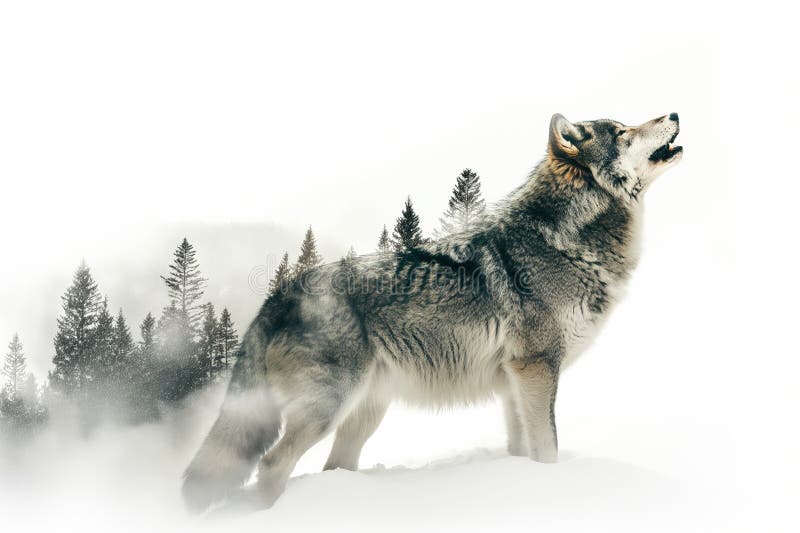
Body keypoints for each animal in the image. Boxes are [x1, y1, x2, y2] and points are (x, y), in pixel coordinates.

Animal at [182, 113, 683, 511]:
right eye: (622, 131)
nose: (675, 113)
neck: (564, 239)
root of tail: (278, 293)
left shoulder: (515, 383)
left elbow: (523, 448)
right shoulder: (537, 369)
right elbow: (549, 448)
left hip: (363, 416)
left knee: (328, 468)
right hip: (327, 410)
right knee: (270, 466)